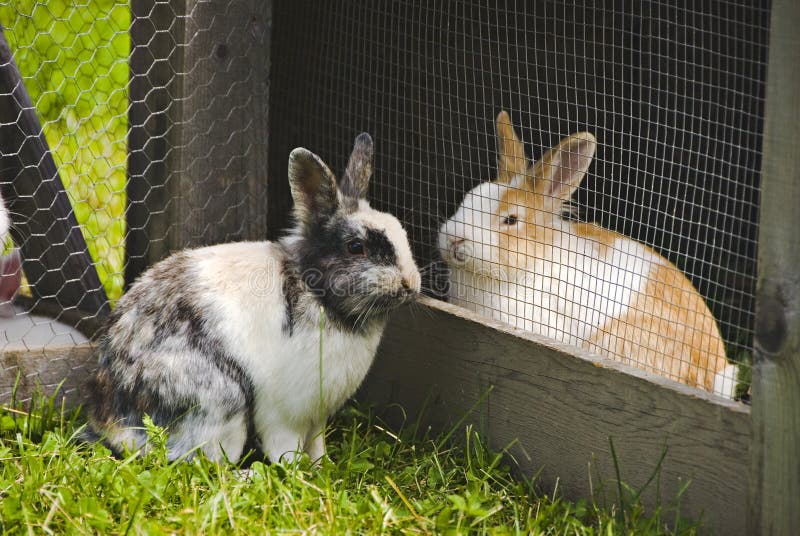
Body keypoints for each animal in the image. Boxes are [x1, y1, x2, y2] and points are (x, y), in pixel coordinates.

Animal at [86, 133, 421, 463]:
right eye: (355, 247)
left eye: (401, 233)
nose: (410, 284)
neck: (318, 294)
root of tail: (111, 421)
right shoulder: (284, 416)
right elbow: (285, 448)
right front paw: (298, 471)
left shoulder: (317, 418)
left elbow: (316, 444)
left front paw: (322, 466)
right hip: (223, 405)